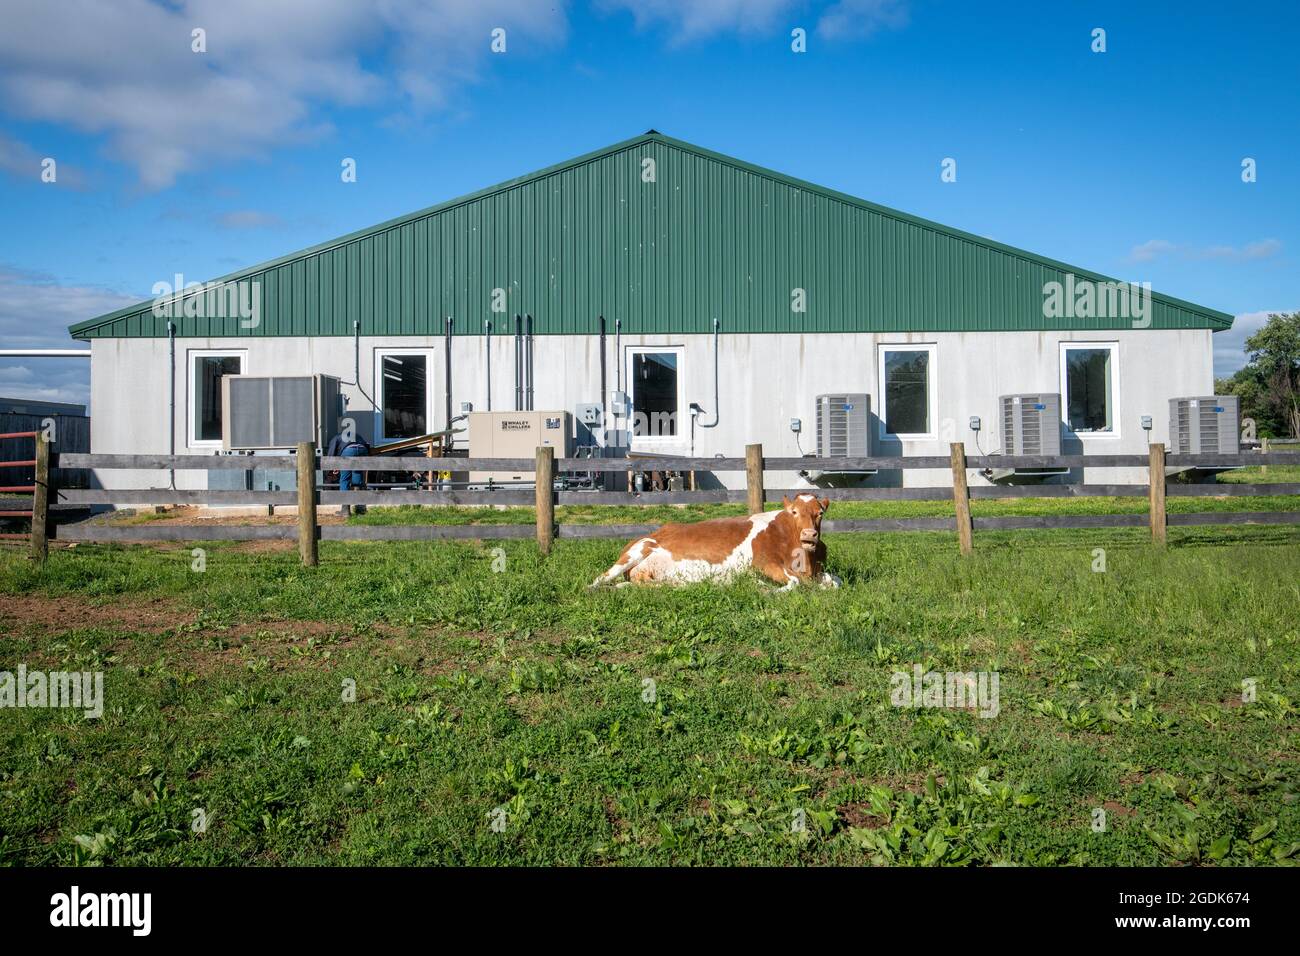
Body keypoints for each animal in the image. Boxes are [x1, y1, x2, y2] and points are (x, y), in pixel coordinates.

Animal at [589, 493, 841, 591]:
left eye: (820, 513)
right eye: (794, 512)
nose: (809, 535)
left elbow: (835, 581)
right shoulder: (763, 564)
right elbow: (794, 583)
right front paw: (766, 589)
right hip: (636, 551)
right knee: (597, 581)